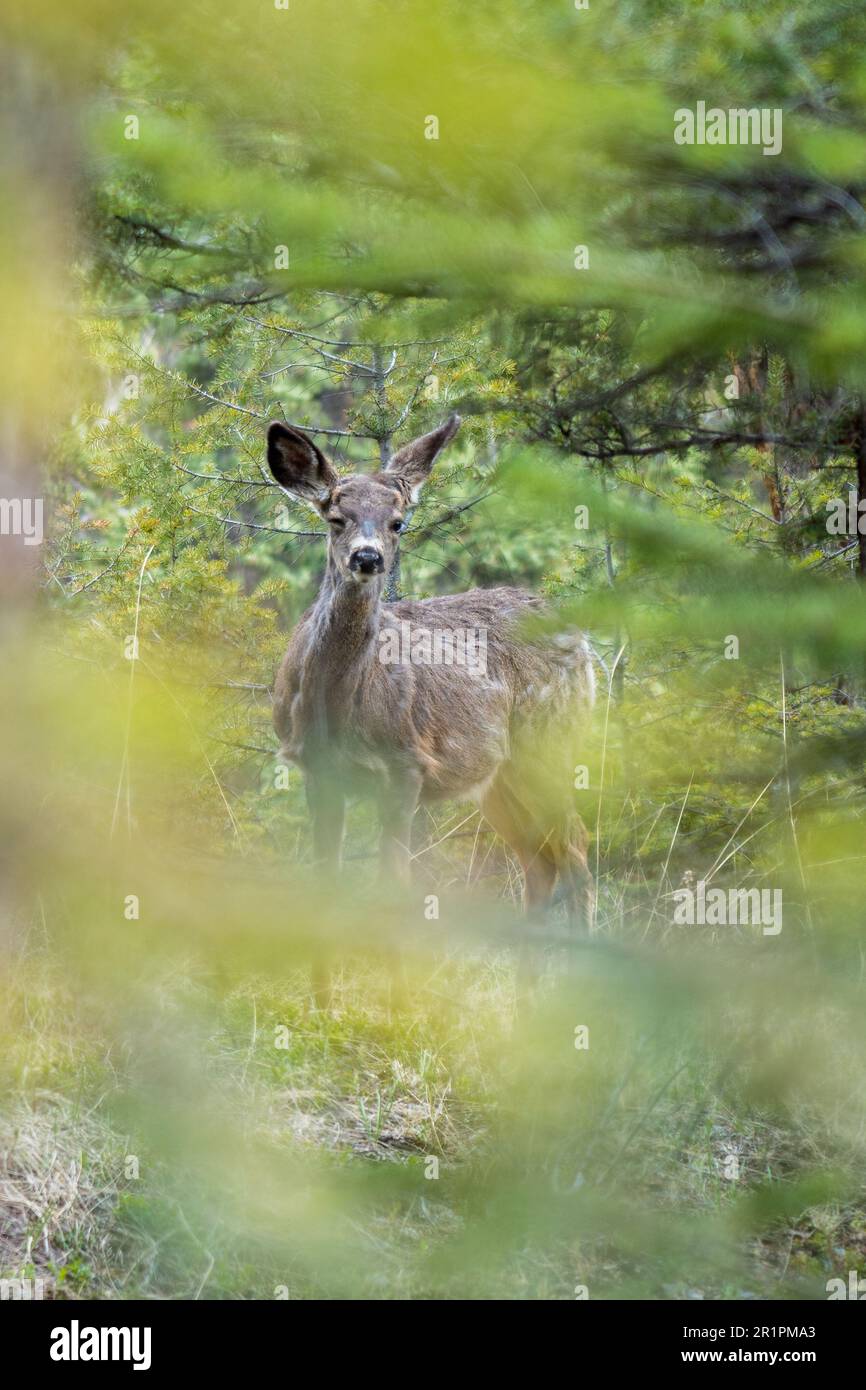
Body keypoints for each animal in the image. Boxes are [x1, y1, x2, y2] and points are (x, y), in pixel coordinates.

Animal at [267, 414, 595, 944]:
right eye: (335, 518)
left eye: (397, 522)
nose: (367, 557)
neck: (337, 706)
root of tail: (579, 634)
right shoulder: (316, 769)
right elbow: (325, 882)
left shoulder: (405, 764)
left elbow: (393, 885)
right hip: (500, 777)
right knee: (538, 861)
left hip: (550, 741)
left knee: (575, 845)